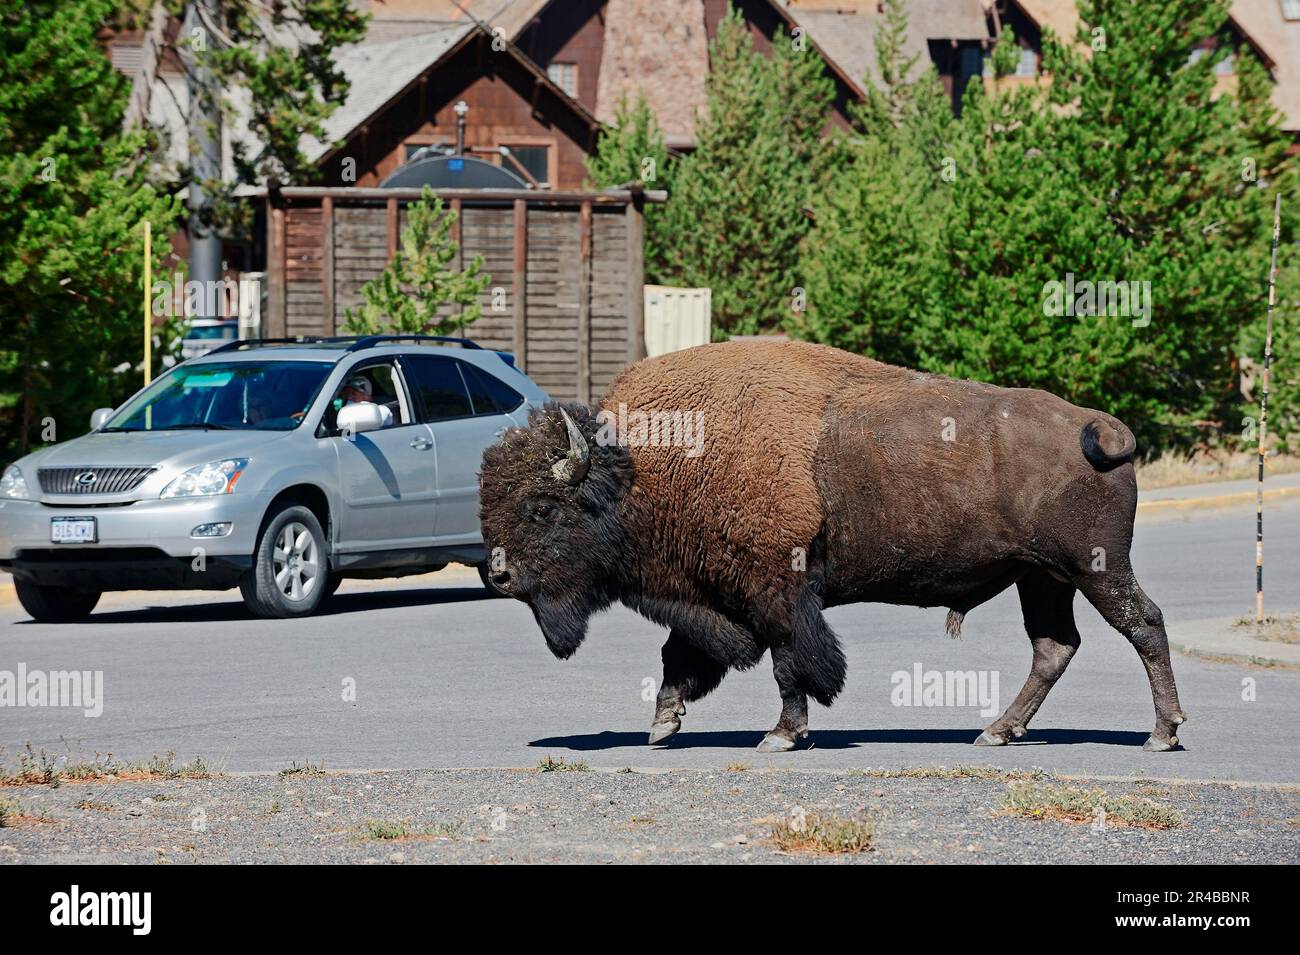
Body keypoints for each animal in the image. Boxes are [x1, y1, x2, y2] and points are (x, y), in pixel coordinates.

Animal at [479, 340, 1186, 753]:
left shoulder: (777, 592)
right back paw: (996, 731)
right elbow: (680, 656)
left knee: (1144, 626)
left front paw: (781, 736)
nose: (499, 576)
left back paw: (1161, 735)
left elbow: (791, 662)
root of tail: (1097, 424)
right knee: (1053, 647)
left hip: (1094, 569)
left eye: (542, 508)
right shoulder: (712, 595)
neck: (642, 467)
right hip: (1041, 578)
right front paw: (662, 726)